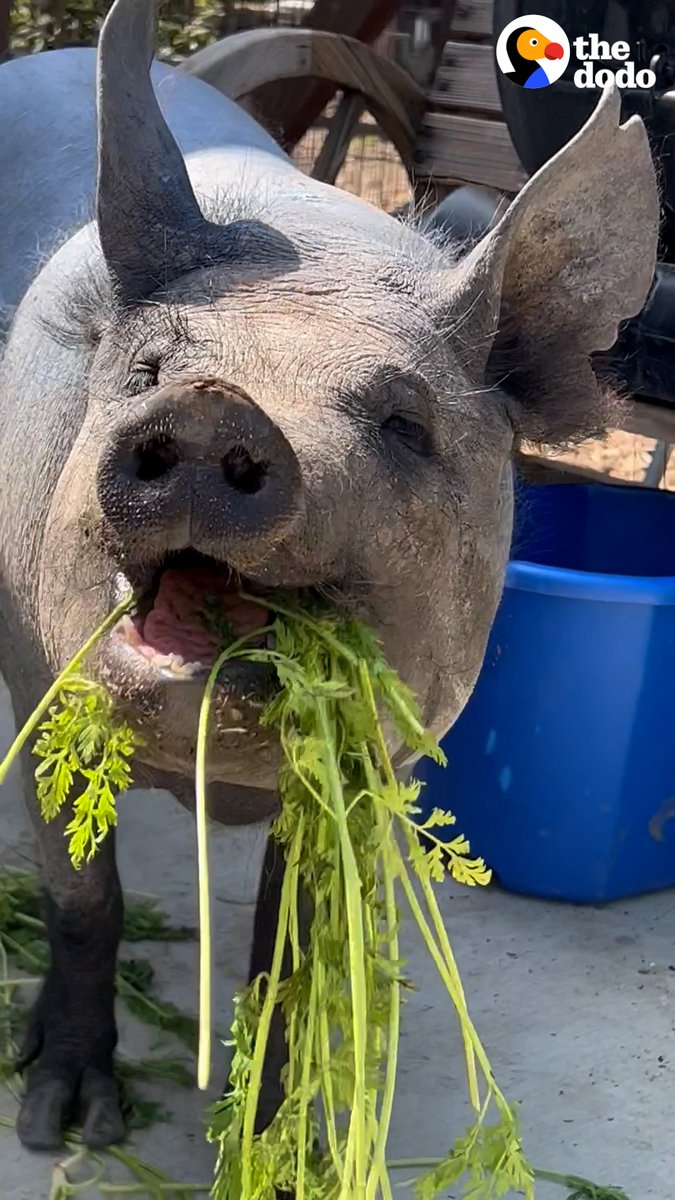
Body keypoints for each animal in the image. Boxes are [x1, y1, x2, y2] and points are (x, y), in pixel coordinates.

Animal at [0, 0, 658, 1155]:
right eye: (148, 371)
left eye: (402, 421)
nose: (216, 407)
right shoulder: (42, 683)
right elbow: (85, 900)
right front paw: (67, 1129)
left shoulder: (381, 761)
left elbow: (296, 953)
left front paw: (283, 1150)